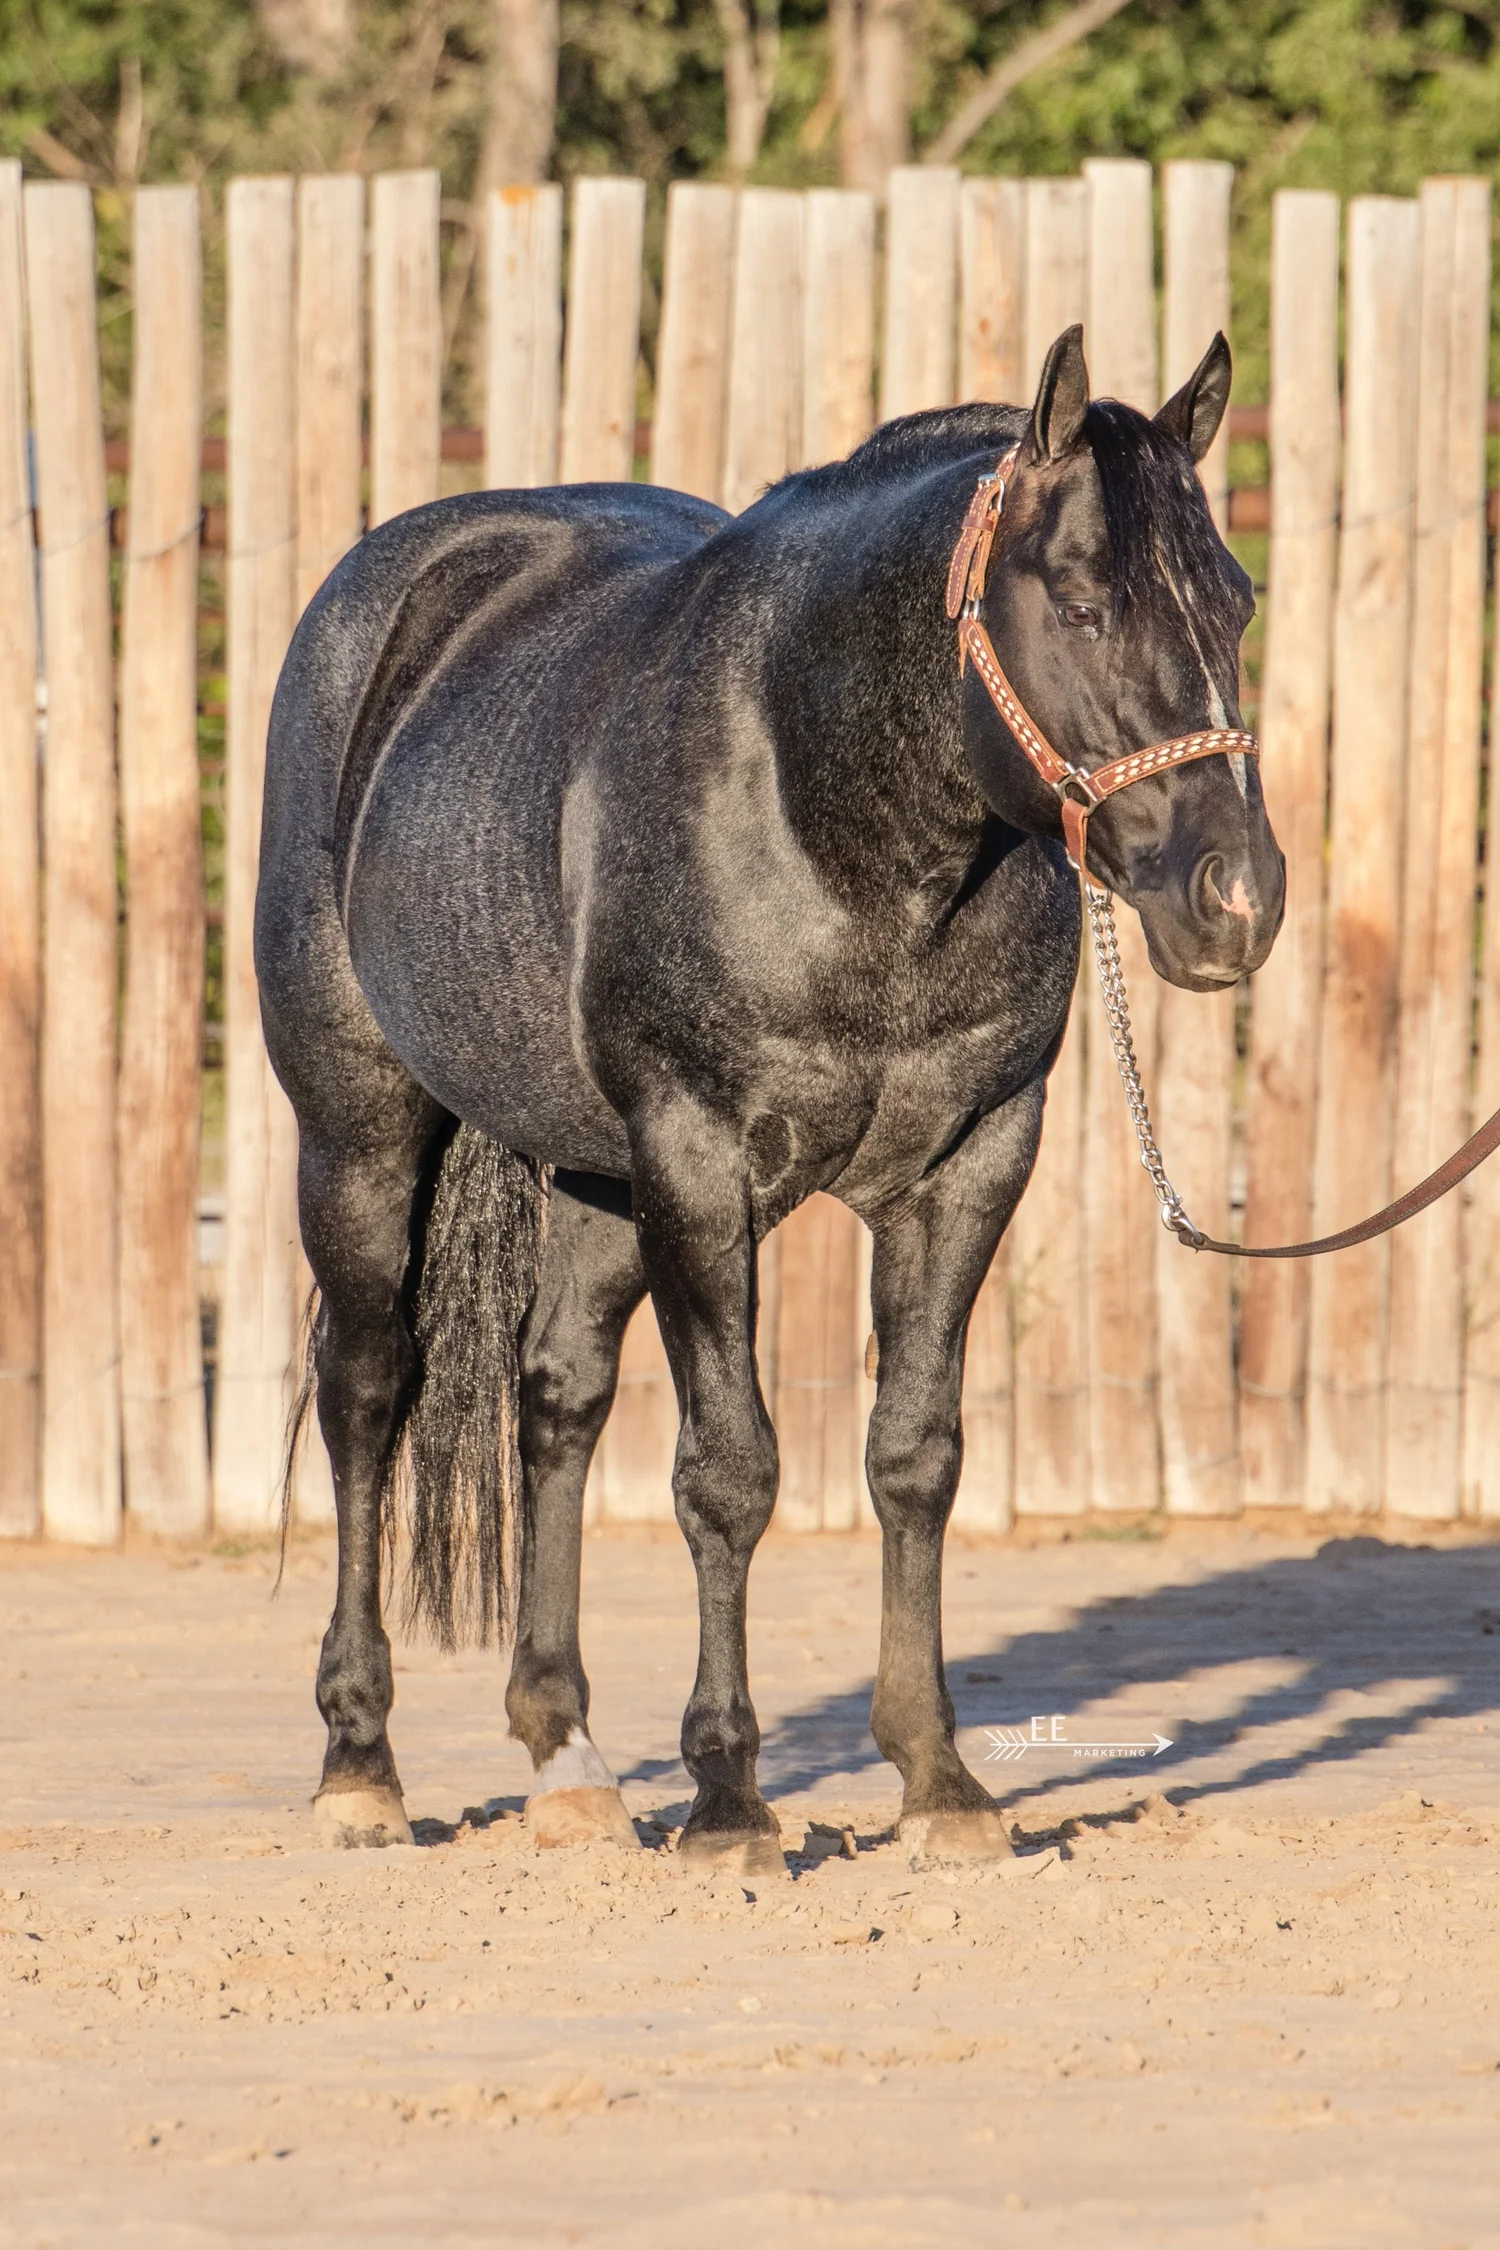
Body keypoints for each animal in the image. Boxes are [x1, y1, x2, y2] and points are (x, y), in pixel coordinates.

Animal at [256, 324, 1284, 1873]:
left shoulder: (970, 1164)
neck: (833, 818)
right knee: (371, 1393)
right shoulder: (699, 1165)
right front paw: (731, 1801)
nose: (1239, 899)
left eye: (1236, 599)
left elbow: (916, 1455)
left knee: (554, 1395)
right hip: (363, 1139)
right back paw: (361, 1767)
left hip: (596, 1176)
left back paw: (566, 1760)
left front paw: (941, 1784)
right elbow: (728, 1471)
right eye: (1086, 603)